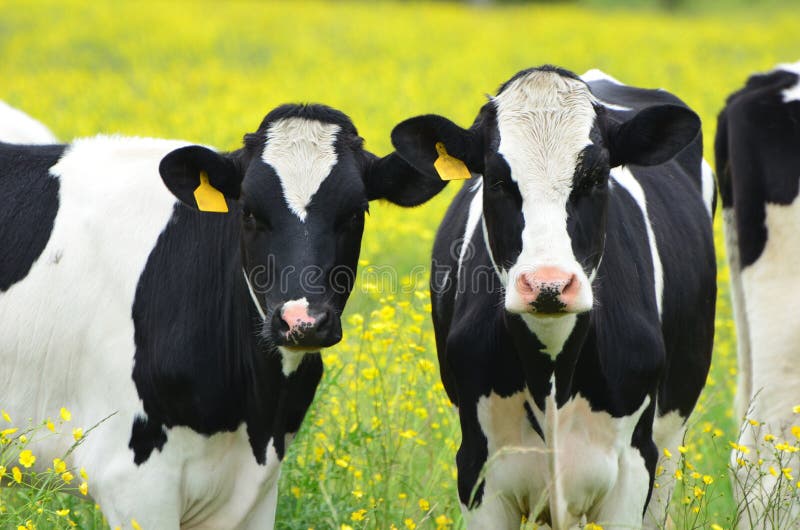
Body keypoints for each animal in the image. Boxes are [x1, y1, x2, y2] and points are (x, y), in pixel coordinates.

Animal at [0, 103, 446, 529]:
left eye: (356, 213)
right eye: (247, 212)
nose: (302, 322)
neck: (250, 414)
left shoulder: (256, 489)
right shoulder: (133, 482)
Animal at [387, 66, 717, 529]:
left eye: (596, 177)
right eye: (496, 179)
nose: (548, 284)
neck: (553, 373)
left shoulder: (634, 470)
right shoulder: (478, 466)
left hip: (669, 442)